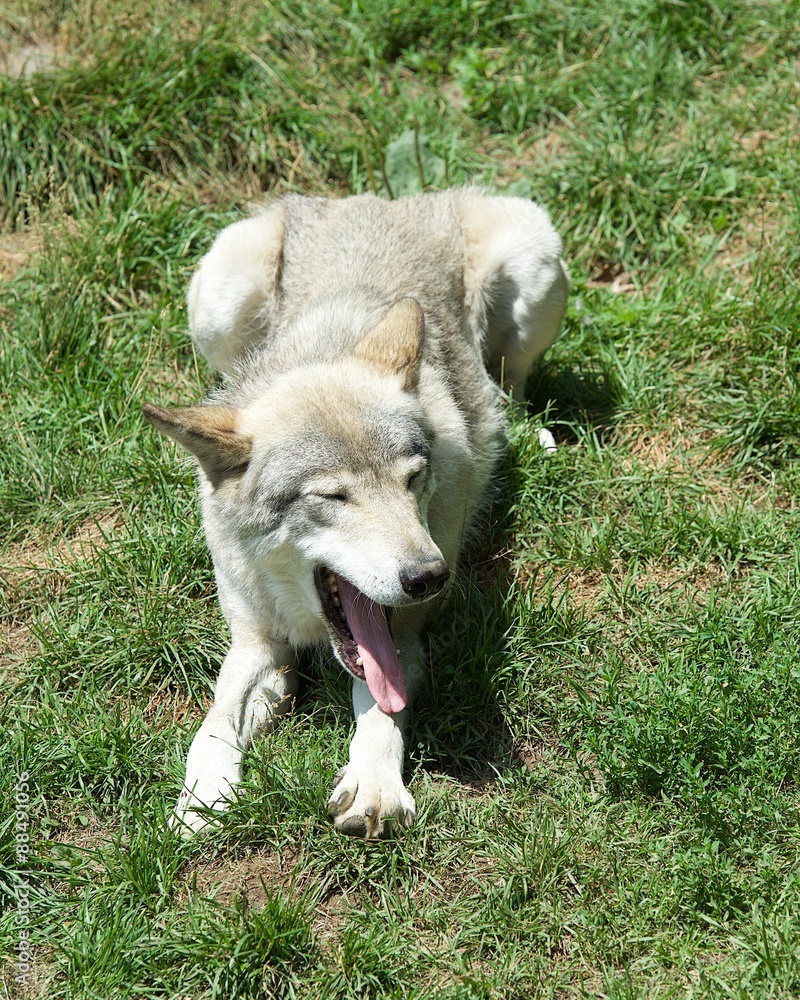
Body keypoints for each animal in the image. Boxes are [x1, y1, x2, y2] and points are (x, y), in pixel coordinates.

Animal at [143, 188, 569, 838]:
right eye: (333, 498)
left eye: (412, 481)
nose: (430, 577)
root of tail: (379, 197)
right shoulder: (254, 638)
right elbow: (216, 718)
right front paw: (200, 800)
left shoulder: (405, 634)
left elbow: (378, 708)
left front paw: (373, 785)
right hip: (217, 299)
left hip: (532, 261)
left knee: (510, 386)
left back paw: (523, 432)